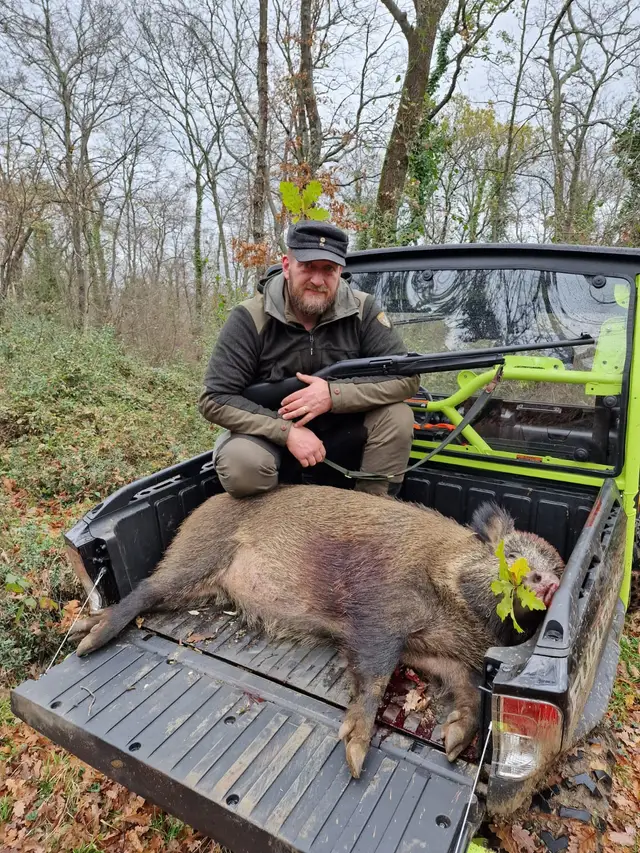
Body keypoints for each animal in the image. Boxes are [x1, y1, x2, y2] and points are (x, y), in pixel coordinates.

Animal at [70, 485, 563, 779]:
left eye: (555, 567)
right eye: (510, 554)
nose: (549, 582)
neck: (454, 606)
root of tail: (203, 505)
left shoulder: (436, 654)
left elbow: (470, 689)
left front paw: (454, 747)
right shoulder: (378, 613)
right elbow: (374, 678)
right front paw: (356, 763)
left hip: (204, 587)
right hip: (197, 553)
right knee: (144, 590)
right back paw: (85, 643)